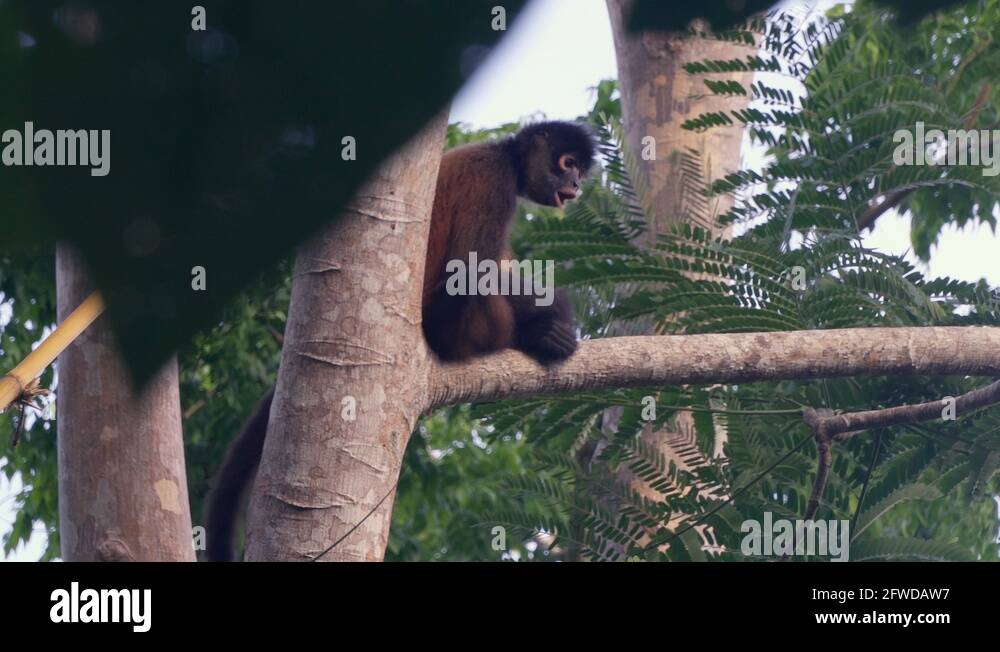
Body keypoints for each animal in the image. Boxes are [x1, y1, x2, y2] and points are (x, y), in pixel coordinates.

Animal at [204, 120, 595, 561]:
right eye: (568, 163)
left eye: (580, 171)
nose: (576, 184)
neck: (507, 156)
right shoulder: (494, 177)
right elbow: (471, 267)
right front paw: (545, 326)